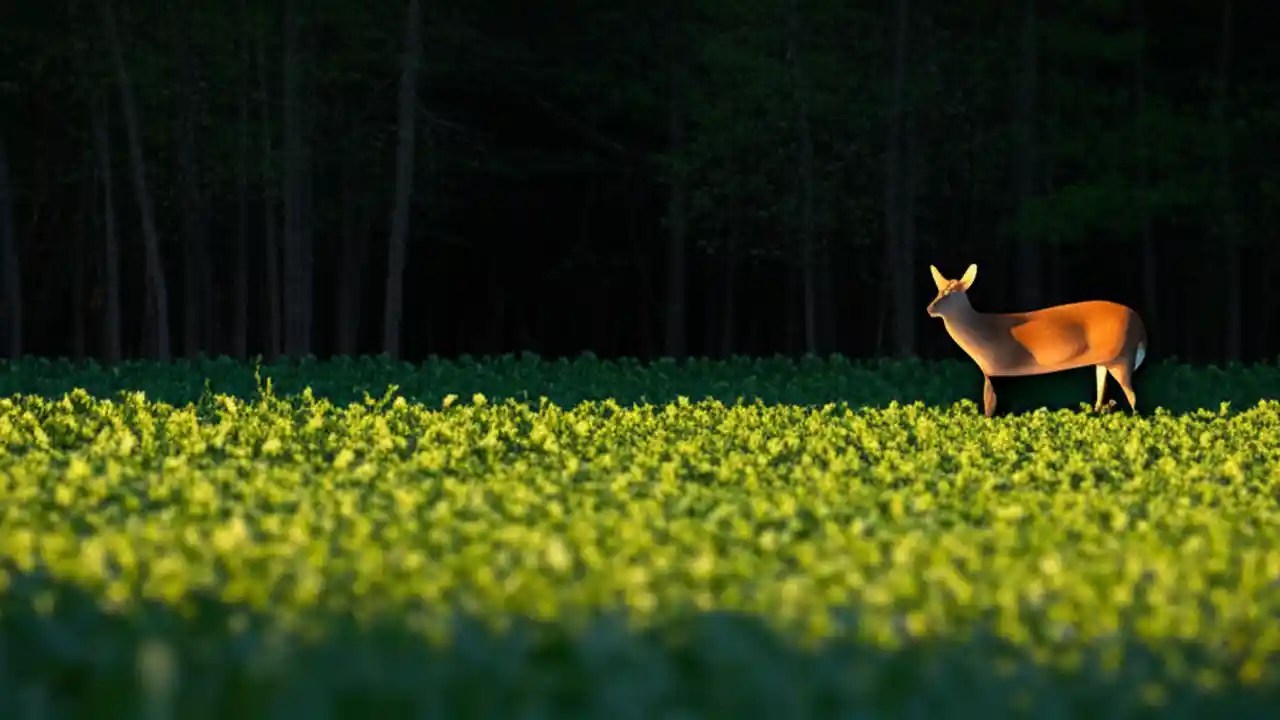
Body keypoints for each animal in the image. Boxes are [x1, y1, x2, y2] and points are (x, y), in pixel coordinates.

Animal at [926, 264, 1147, 418]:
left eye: (949, 293)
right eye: (938, 291)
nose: (929, 308)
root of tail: (1141, 329)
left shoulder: (998, 371)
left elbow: (992, 408)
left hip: (1122, 356)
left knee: (1132, 396)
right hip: (1105, 361)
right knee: (1101, 397)